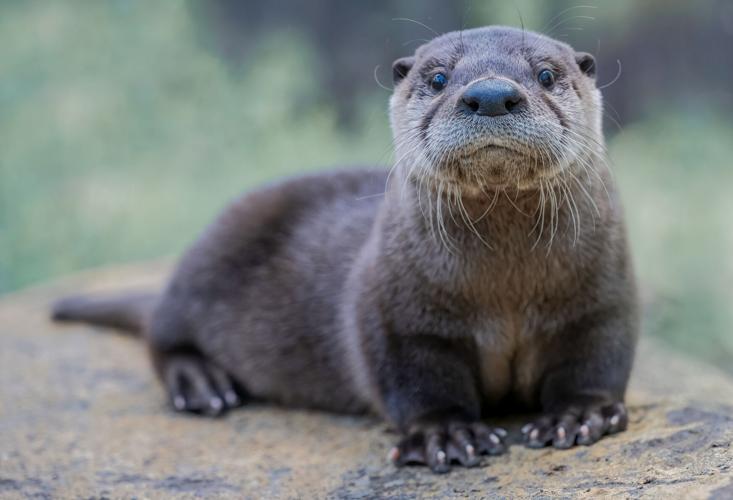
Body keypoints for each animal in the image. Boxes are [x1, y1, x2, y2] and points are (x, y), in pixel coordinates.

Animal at [52, 26, 638, 473]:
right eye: (438, 78)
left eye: (546, 75)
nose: (491, 94)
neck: (506, 290)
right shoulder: (397, 314)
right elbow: (418, 381)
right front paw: (444, 434)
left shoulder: (602, 296)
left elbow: (595, 360)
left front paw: (577, 415)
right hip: (205, 259)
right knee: (162, 334)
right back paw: (199, 381)